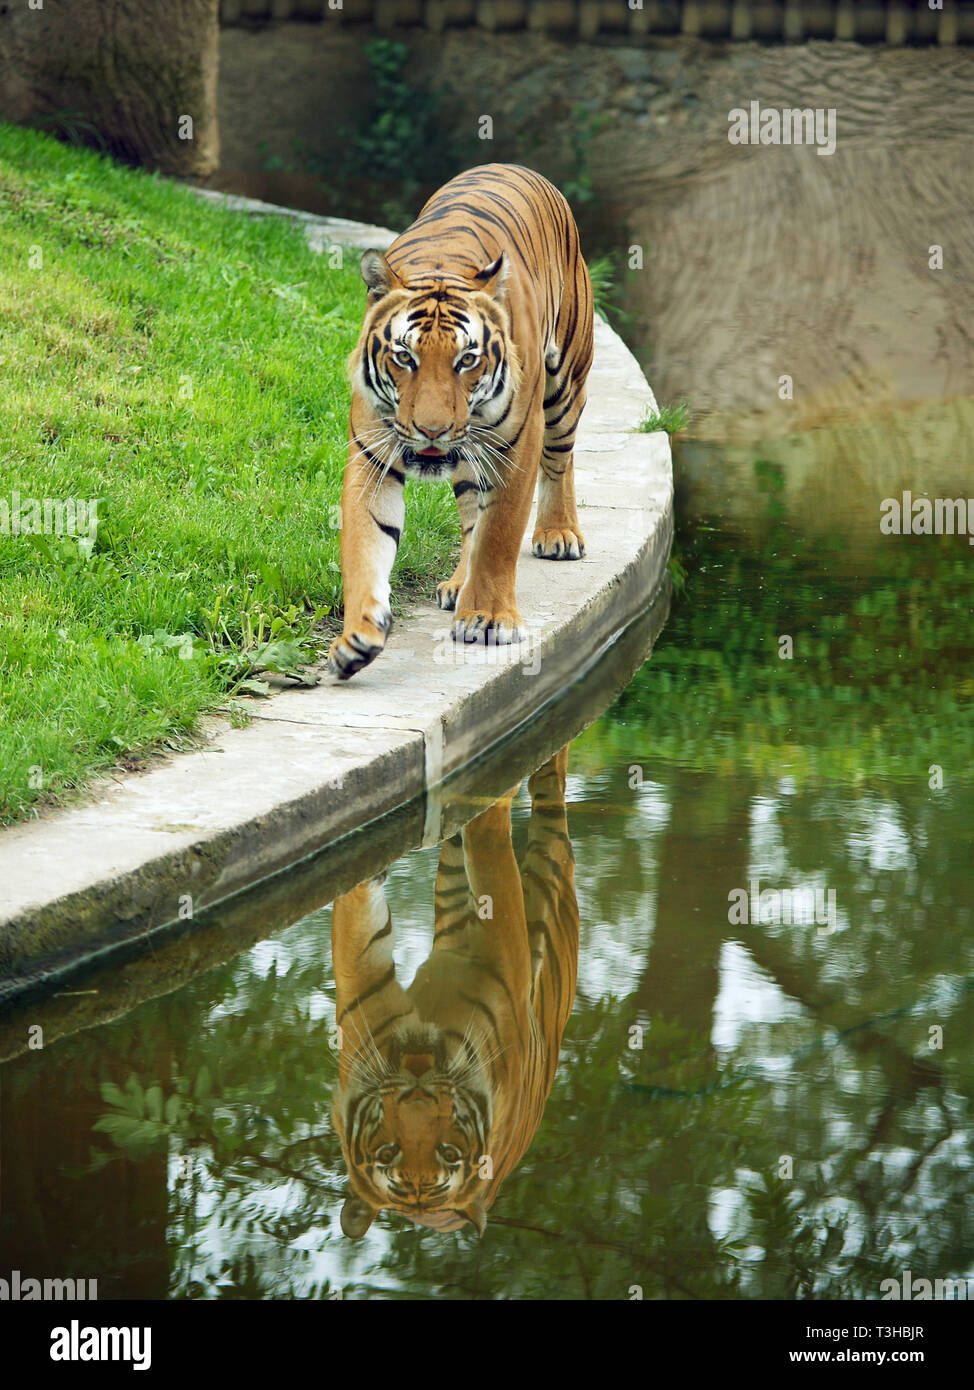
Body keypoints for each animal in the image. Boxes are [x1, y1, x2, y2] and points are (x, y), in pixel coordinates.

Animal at [327, 163, 595, 680]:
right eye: (404, 357)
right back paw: (458, 584)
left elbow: (500, 534)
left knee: (562, 458)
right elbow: (366, 543)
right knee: (472, 512)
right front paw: (358, 635)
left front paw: (489, 618)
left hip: (564, 384)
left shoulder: (519, 444)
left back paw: (558, 534)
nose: (432, 430)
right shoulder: (372, 454)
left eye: (466, 359)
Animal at [330, 746, 579, 1237]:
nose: (418, 1088)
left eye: (449, 1153)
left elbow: (491, 852)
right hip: (449, 885)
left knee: (553, 803)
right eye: (387, 1153)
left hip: (551, 863)